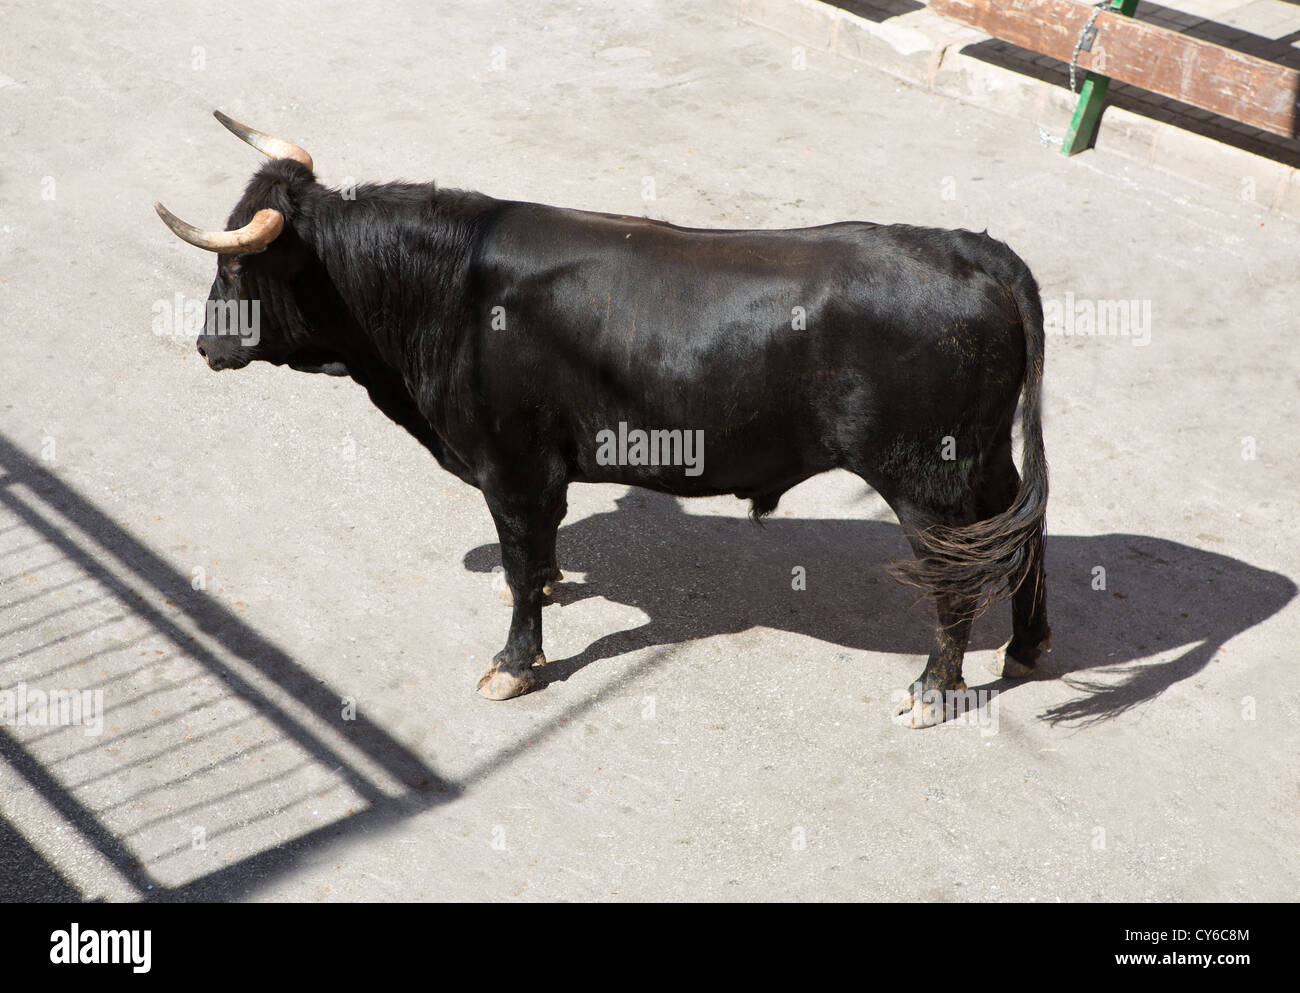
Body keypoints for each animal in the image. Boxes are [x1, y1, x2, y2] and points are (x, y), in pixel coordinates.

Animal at [156, 112, 1051, 727]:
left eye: (236, 269)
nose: (203, 344)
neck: (452, 290)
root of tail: (969, 249)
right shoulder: (541, 470)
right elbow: (537, 550)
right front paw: (551, 582)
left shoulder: (511, 464)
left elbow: (520, 564)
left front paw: (514, 663)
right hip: (983, 463)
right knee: (1024, 531)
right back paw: (1029, 643)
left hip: (928, 481)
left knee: (956, 574)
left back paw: (934, 688)